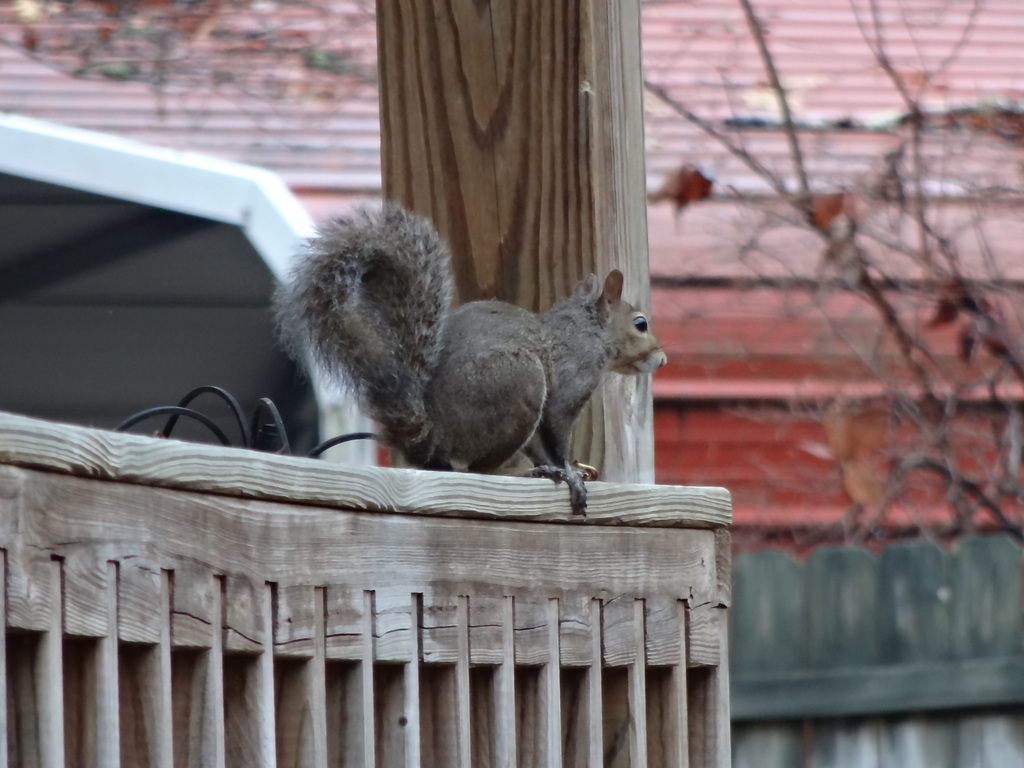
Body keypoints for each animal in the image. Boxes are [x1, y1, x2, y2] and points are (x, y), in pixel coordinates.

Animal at [273, 202, 667, 514]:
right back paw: (523, 472)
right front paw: (569, 473)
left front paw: (566, 471)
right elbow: (555, 436)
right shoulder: (570, 383)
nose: (661, 359)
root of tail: (433, 432)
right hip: (520, 381)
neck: (587, 330)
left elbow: (540, 444)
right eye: (641, 323)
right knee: (478, 470)